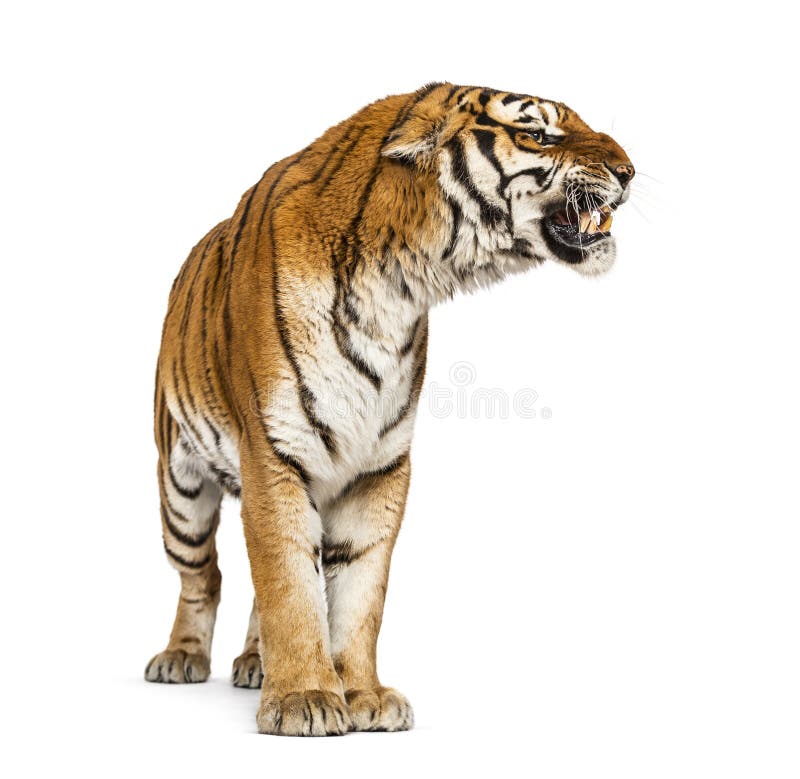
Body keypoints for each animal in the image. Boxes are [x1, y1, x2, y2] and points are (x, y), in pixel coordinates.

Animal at [145, 82, 634, 736]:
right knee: (204, 576)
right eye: (536, 133)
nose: (629, 172)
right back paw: (181, 658)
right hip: (181, 489)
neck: (398, 283)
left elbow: (359, 591)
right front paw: (303, 697)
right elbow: (289, 586)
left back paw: (253, 664)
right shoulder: (274, 451)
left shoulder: (379, 464)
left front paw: (362, 694)